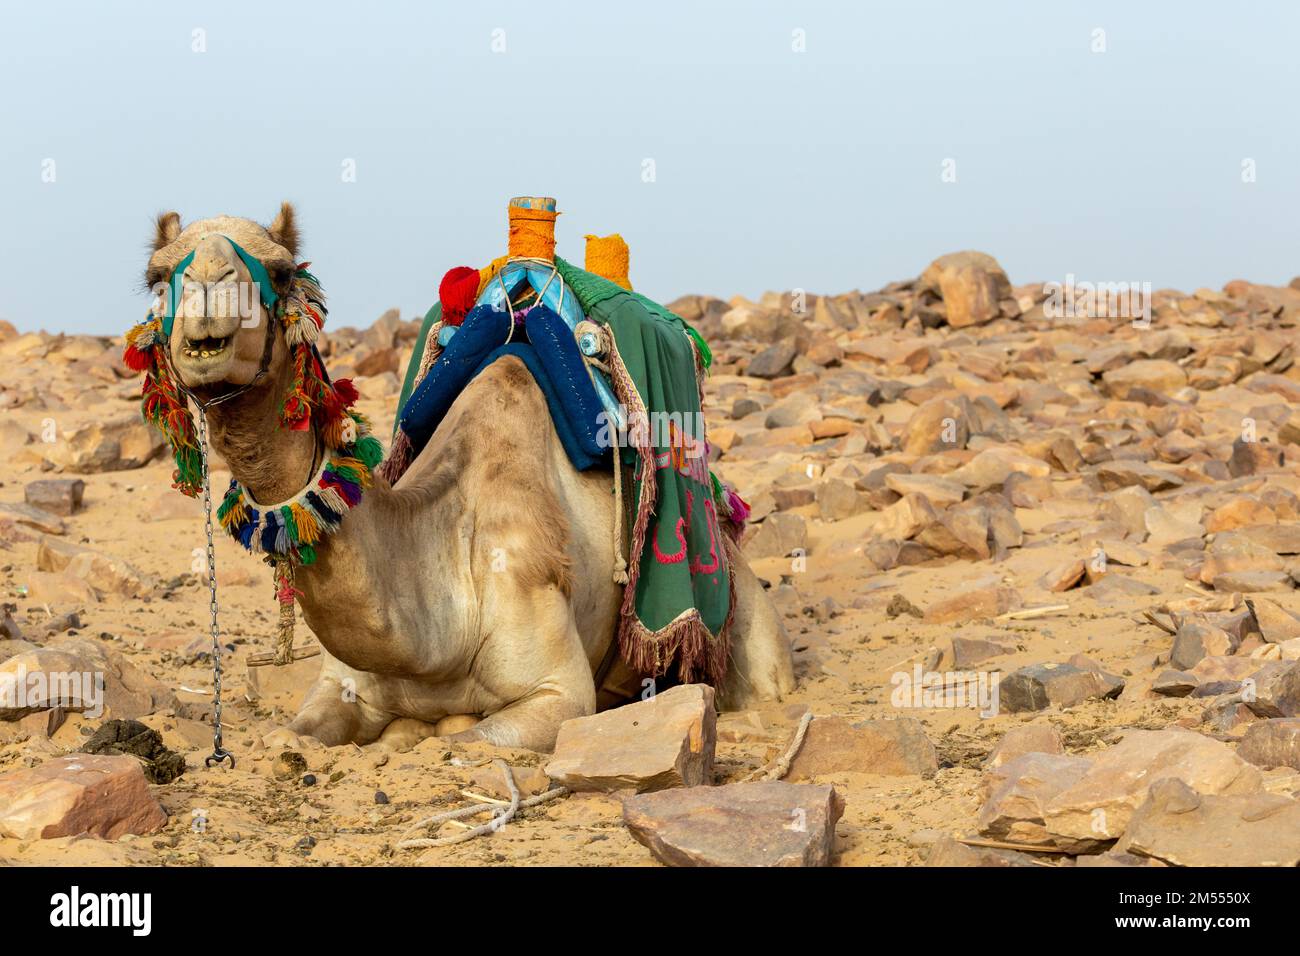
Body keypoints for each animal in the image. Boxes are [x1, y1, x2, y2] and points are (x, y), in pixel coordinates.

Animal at [144, 204, 795, 752]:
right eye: (158, 275)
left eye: (279, 272)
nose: (208, 290)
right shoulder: (337, 687)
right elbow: (294, 736)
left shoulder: (557, 692)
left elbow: (462, 741)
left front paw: (433, 729)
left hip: (741, 617)